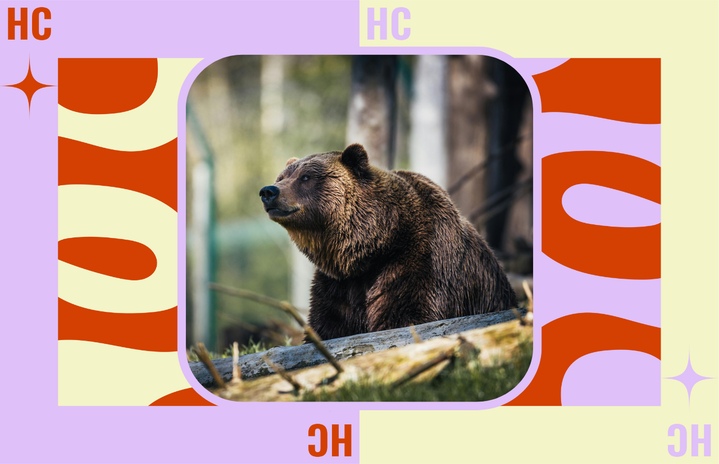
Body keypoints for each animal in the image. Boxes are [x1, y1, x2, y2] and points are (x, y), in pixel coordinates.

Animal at [259, 143, 518, 341]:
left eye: (306, 177)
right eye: (282, 177)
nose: (268, 191)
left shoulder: (420, 260)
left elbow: (407, 314)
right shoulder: (338, 284)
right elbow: (330, 324)